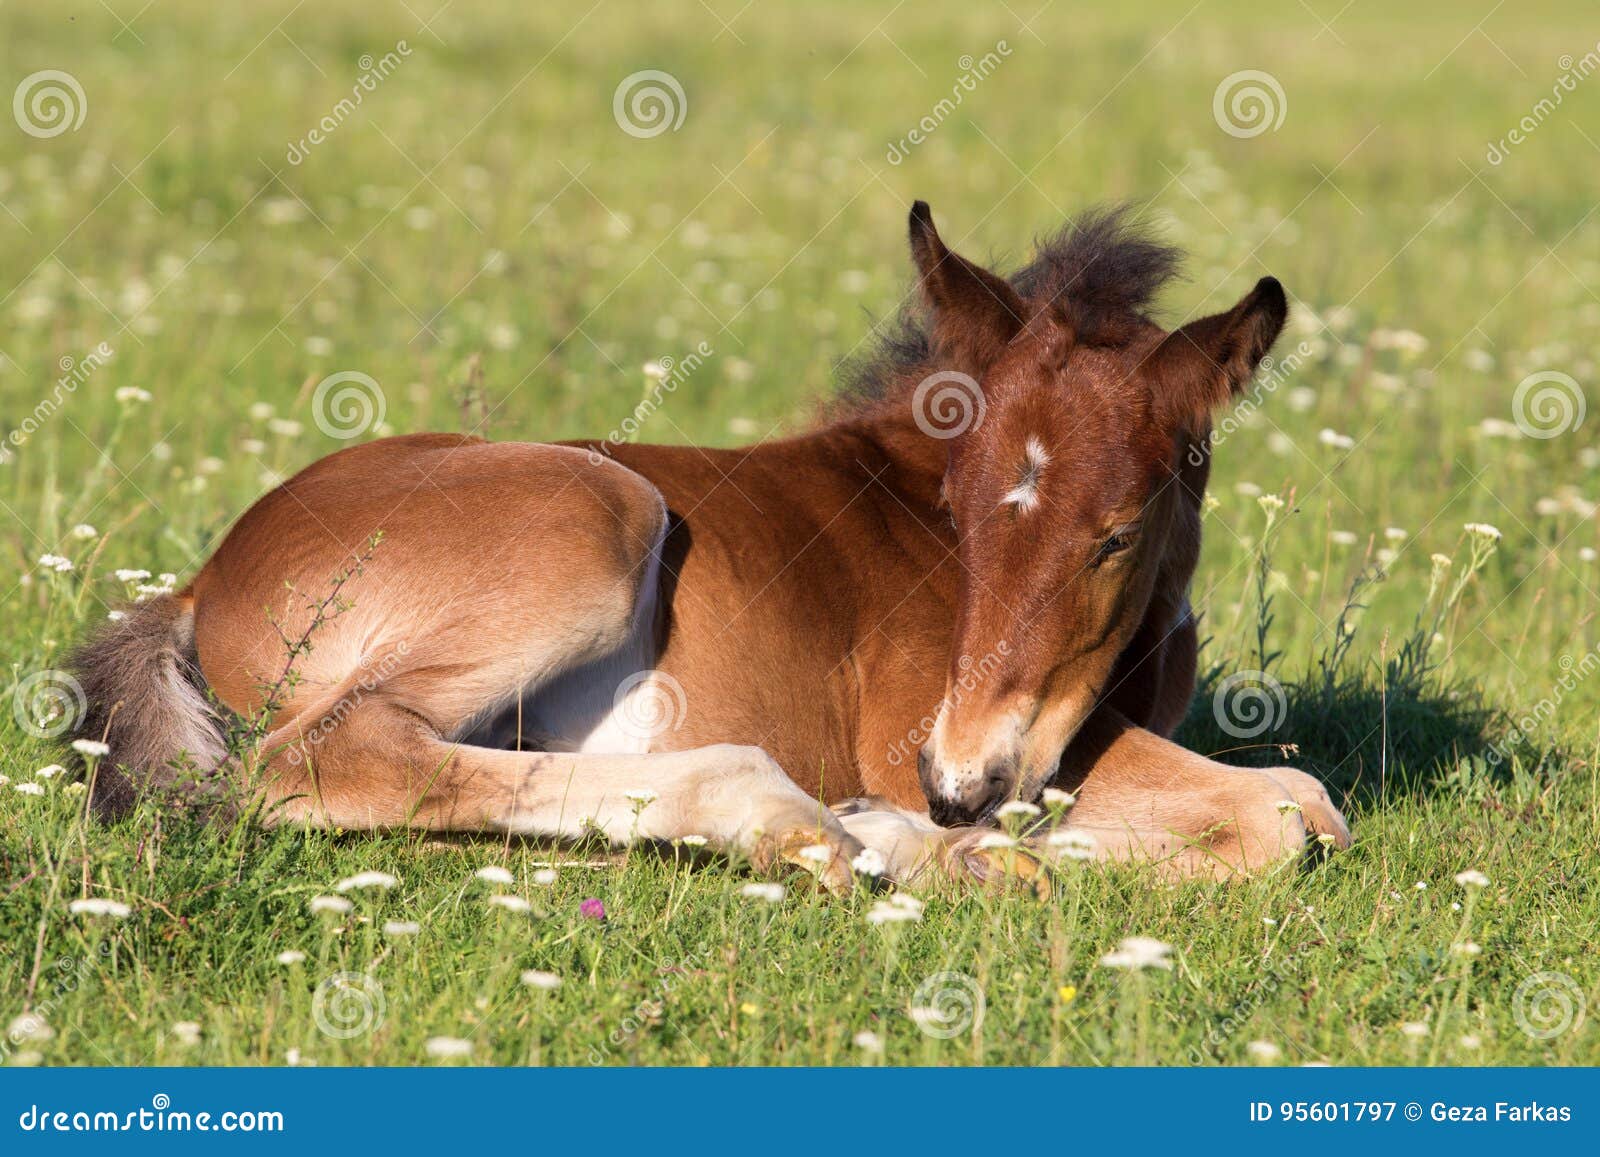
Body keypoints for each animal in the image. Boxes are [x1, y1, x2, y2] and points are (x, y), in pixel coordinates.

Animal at [71, 201, 1350, 890]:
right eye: (961, 502)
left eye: (1114, 534)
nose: (955, 790)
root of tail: (203, 580)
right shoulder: (932, 724)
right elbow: (1287, 810)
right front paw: (930, 839)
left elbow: (1290, 806)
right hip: (600, 510)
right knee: (328, 755)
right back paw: (811, 825)